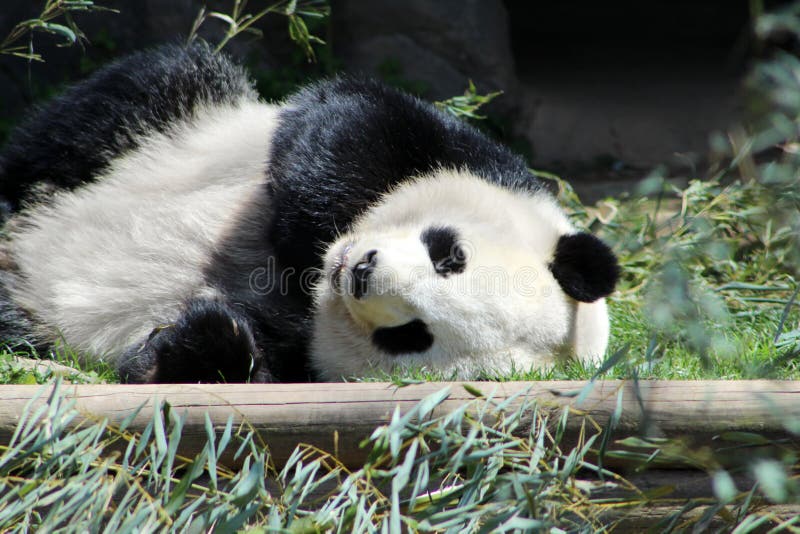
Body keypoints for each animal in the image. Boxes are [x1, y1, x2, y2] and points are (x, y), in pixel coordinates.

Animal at [0, 43, 619, 383]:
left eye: (413, 336)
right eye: (449, 254)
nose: (361, 271)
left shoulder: (300, 361)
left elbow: (215, 365)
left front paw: (205, 339)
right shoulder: (477, 157)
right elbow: (349, 119)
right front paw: (307, 239)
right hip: (168, 126)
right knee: (139, 91)